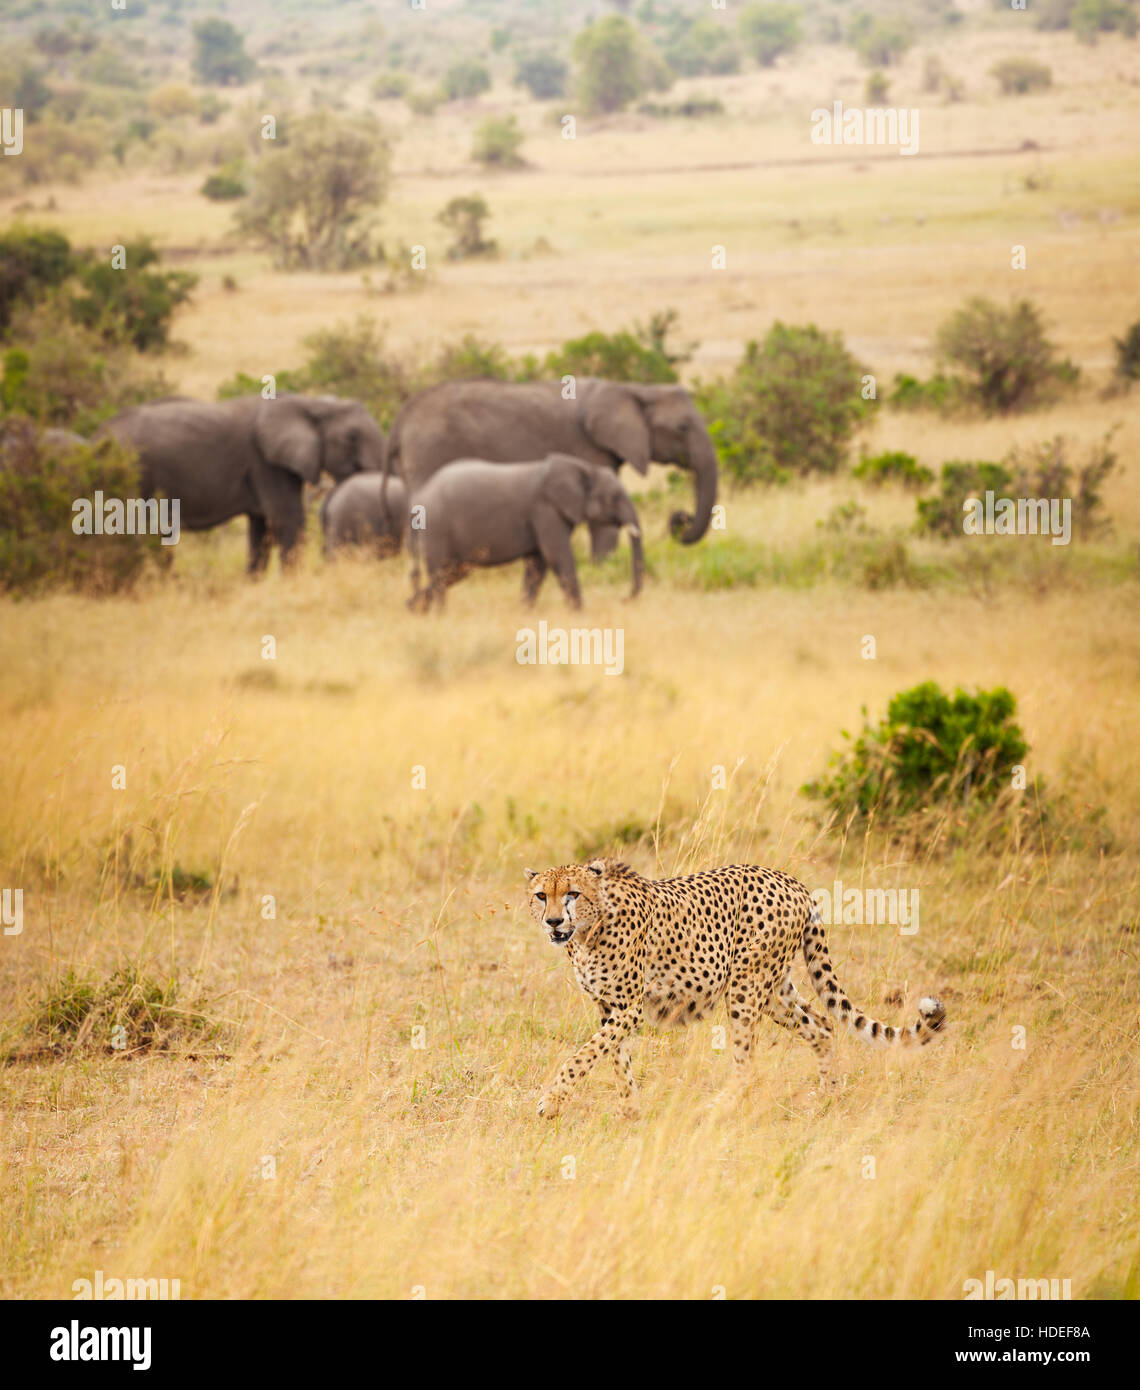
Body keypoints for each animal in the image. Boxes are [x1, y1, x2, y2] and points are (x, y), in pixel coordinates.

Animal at [525, 857, 946, 1118]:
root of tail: (791, 881)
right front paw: (631, 1111)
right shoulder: (610, 1007)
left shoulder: (629, 1007)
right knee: (822, 1025)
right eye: (541, 895)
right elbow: (614, 1057)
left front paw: (551, 1102)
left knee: (747, 1064)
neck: (588, 931)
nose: (553, 921)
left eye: (573, 894)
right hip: (773, 989)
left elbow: (584, 1055)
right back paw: (829, 1098)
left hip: (746, 986)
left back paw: (717, 1108)